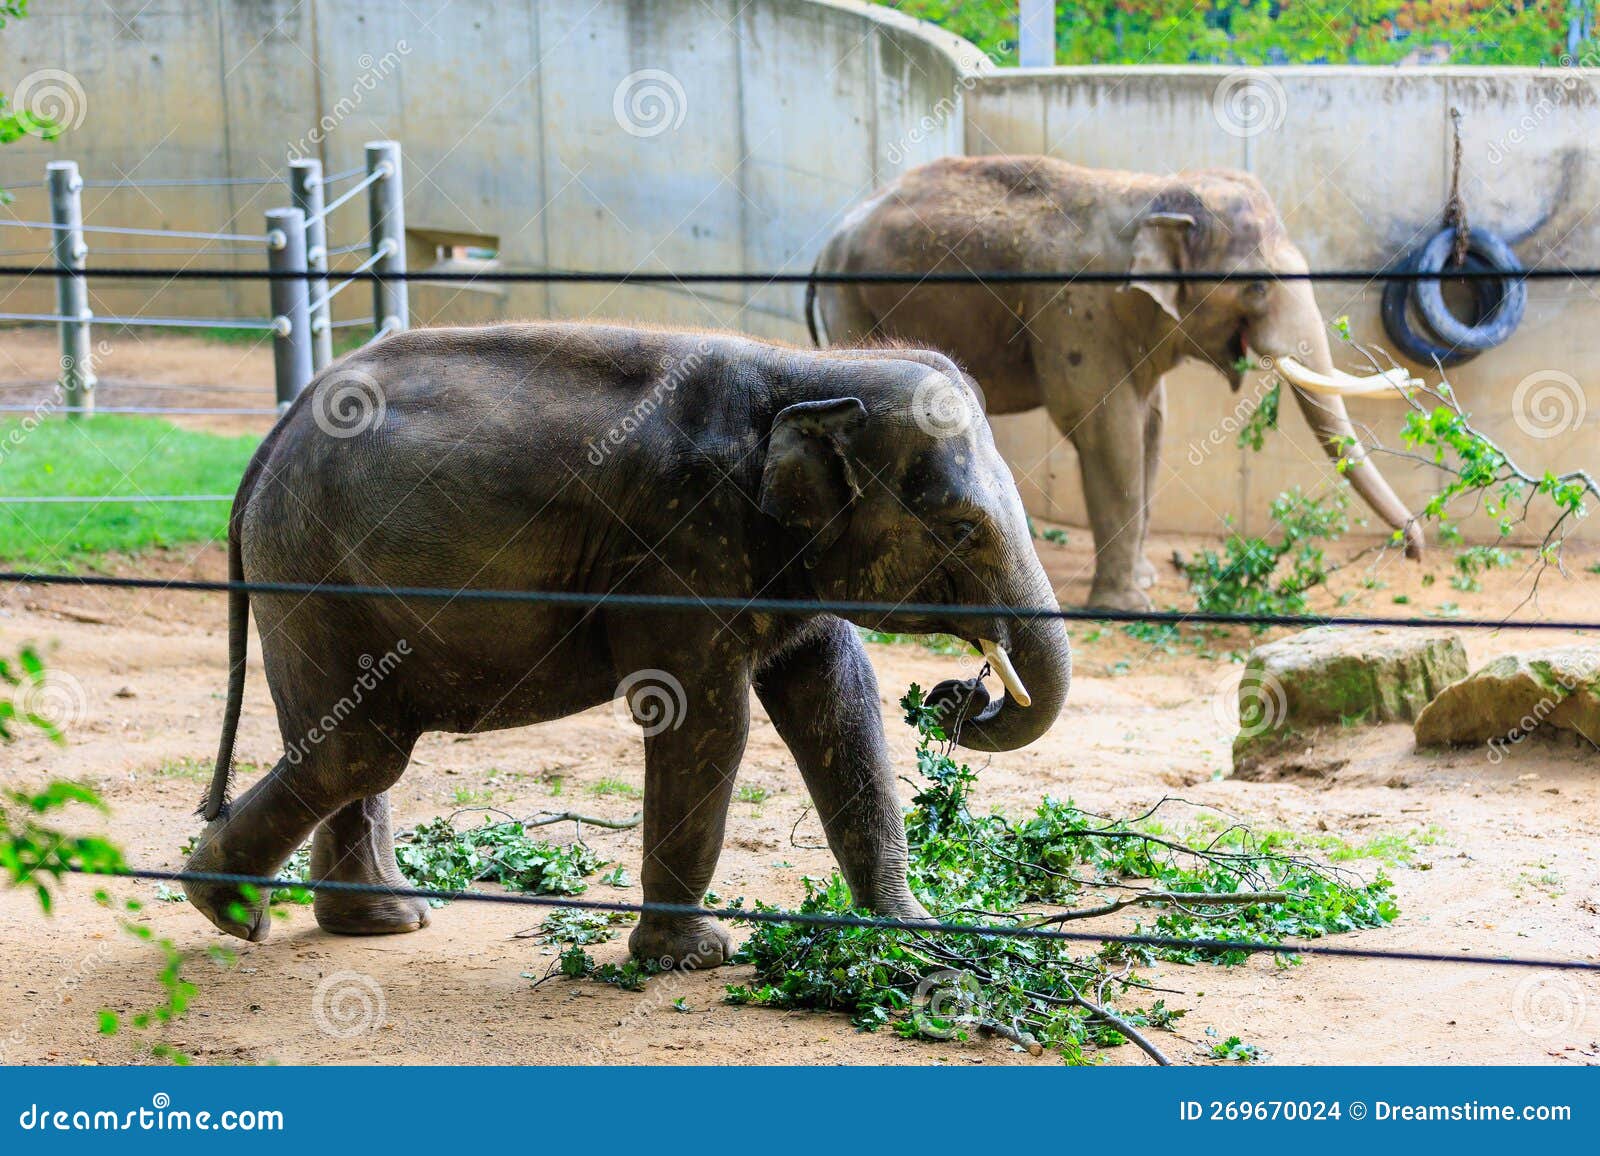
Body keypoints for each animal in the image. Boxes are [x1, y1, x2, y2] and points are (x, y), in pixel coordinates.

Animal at [183, 321, 1072, 968]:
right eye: (960, 529)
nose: (960, 695)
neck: (807, 372)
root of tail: (269, 442)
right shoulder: (682, 541)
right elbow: (708, 721)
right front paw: (693, 959)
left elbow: (838, 702)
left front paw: (914, 937)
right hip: (313, 572)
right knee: (360, 750)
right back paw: (226, 909)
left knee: (355, 750)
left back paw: (378, 921)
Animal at [807, 155, 1425, 611]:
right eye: (1255, 288)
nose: (1414, 550)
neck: (1154, 194)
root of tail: (829, 240)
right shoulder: (1078, 312)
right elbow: (1109, 432)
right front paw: (1128, 605)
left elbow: (1152, 426)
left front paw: (1145, 581)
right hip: (854, 302)